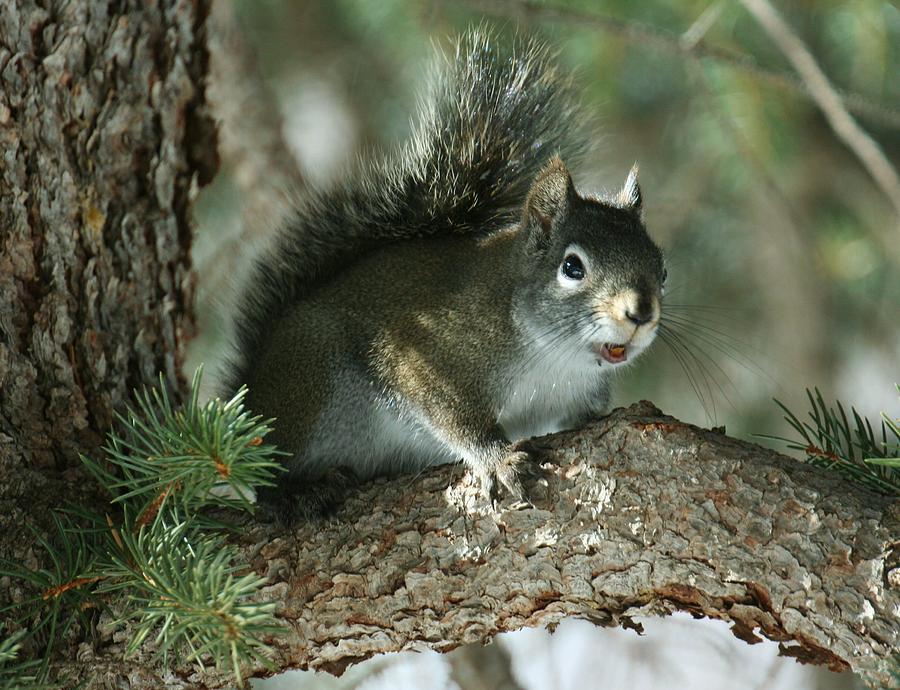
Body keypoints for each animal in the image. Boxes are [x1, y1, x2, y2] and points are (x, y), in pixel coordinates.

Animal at [223, 30, 666, 523]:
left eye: (662, 267)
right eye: (572, 267)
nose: (641, 312)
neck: (554, 357)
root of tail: (251, 390)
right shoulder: (425, 355)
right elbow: (455, 417)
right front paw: (500, 459)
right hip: (308, 381)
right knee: (265, 476)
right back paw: (294, 492)